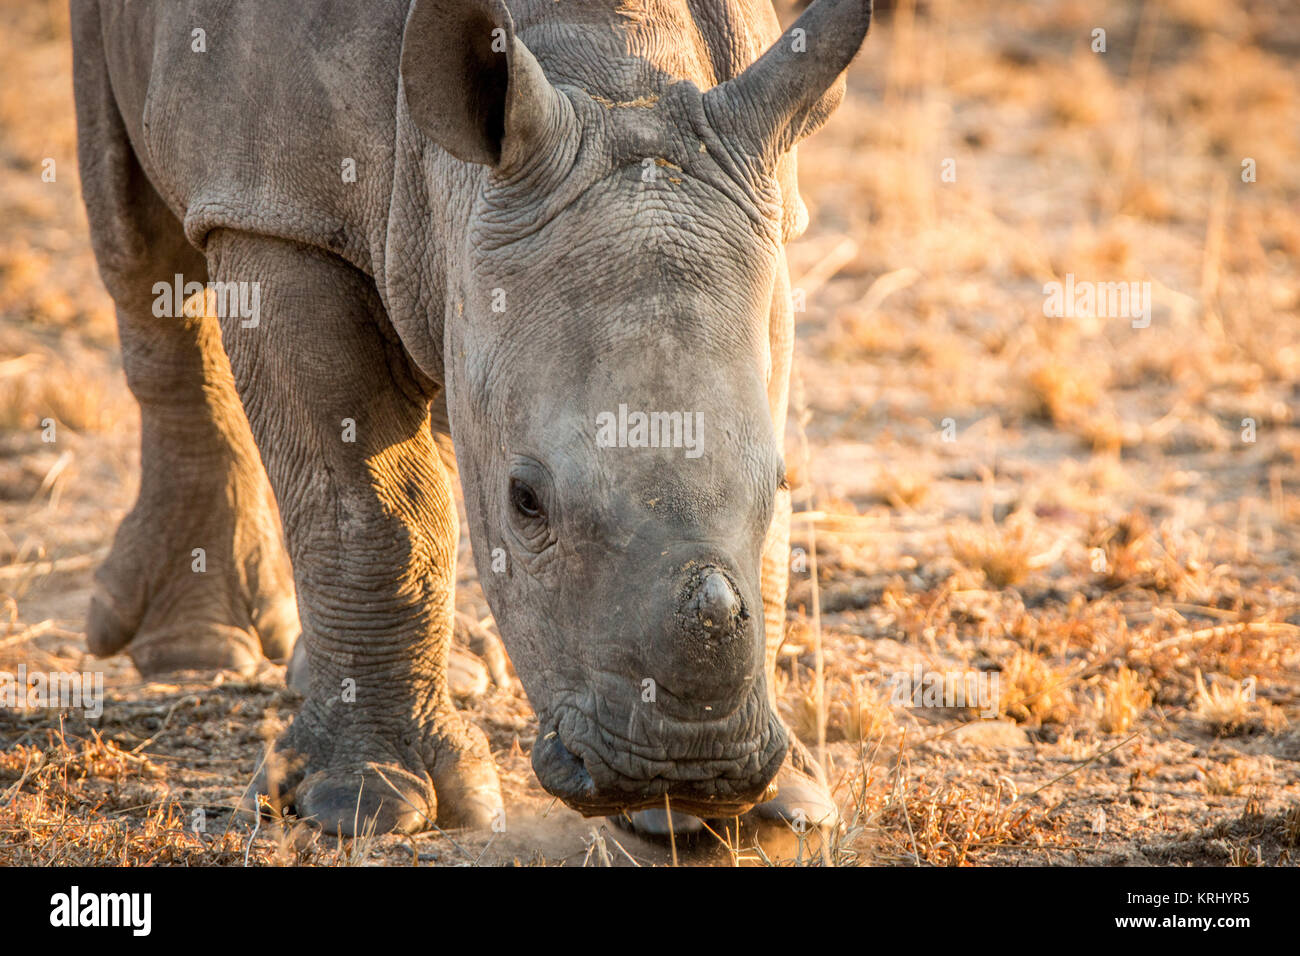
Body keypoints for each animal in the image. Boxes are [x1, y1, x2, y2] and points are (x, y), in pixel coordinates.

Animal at [70, 0, 872, 836]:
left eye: (782, 486)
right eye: (527, 504)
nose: (684, 772)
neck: (614, 79)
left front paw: (783, 808)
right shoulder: (277, 211)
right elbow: (369, 514)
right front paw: (364, 804)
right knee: (140, 249)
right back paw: (194, 649)